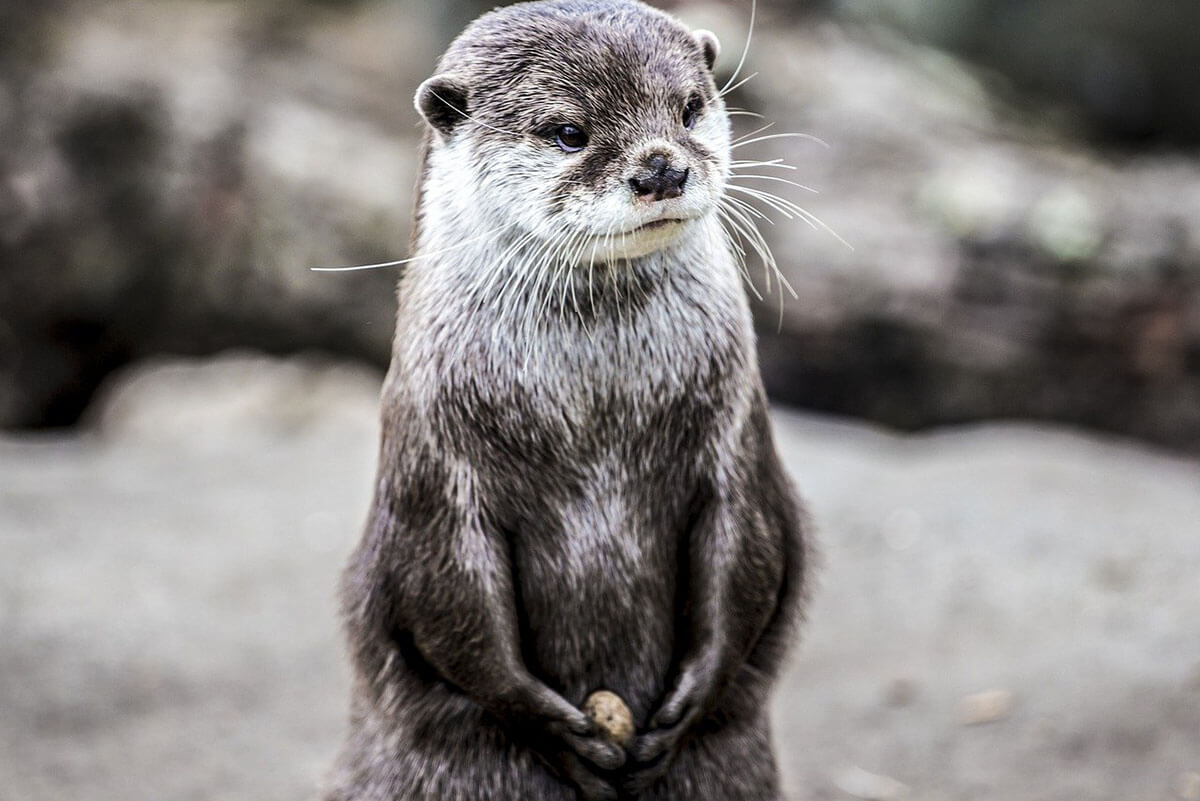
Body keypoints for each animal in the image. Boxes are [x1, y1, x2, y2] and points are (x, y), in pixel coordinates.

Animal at [325, 2, 807, 800]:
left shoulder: (735, 436)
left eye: (688, 108)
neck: (593, 421)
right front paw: (557, 729)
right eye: (569, 133)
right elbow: (450, 605)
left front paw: (688, 701)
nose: (662, 166)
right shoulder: (437, 470)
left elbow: (748, 556)